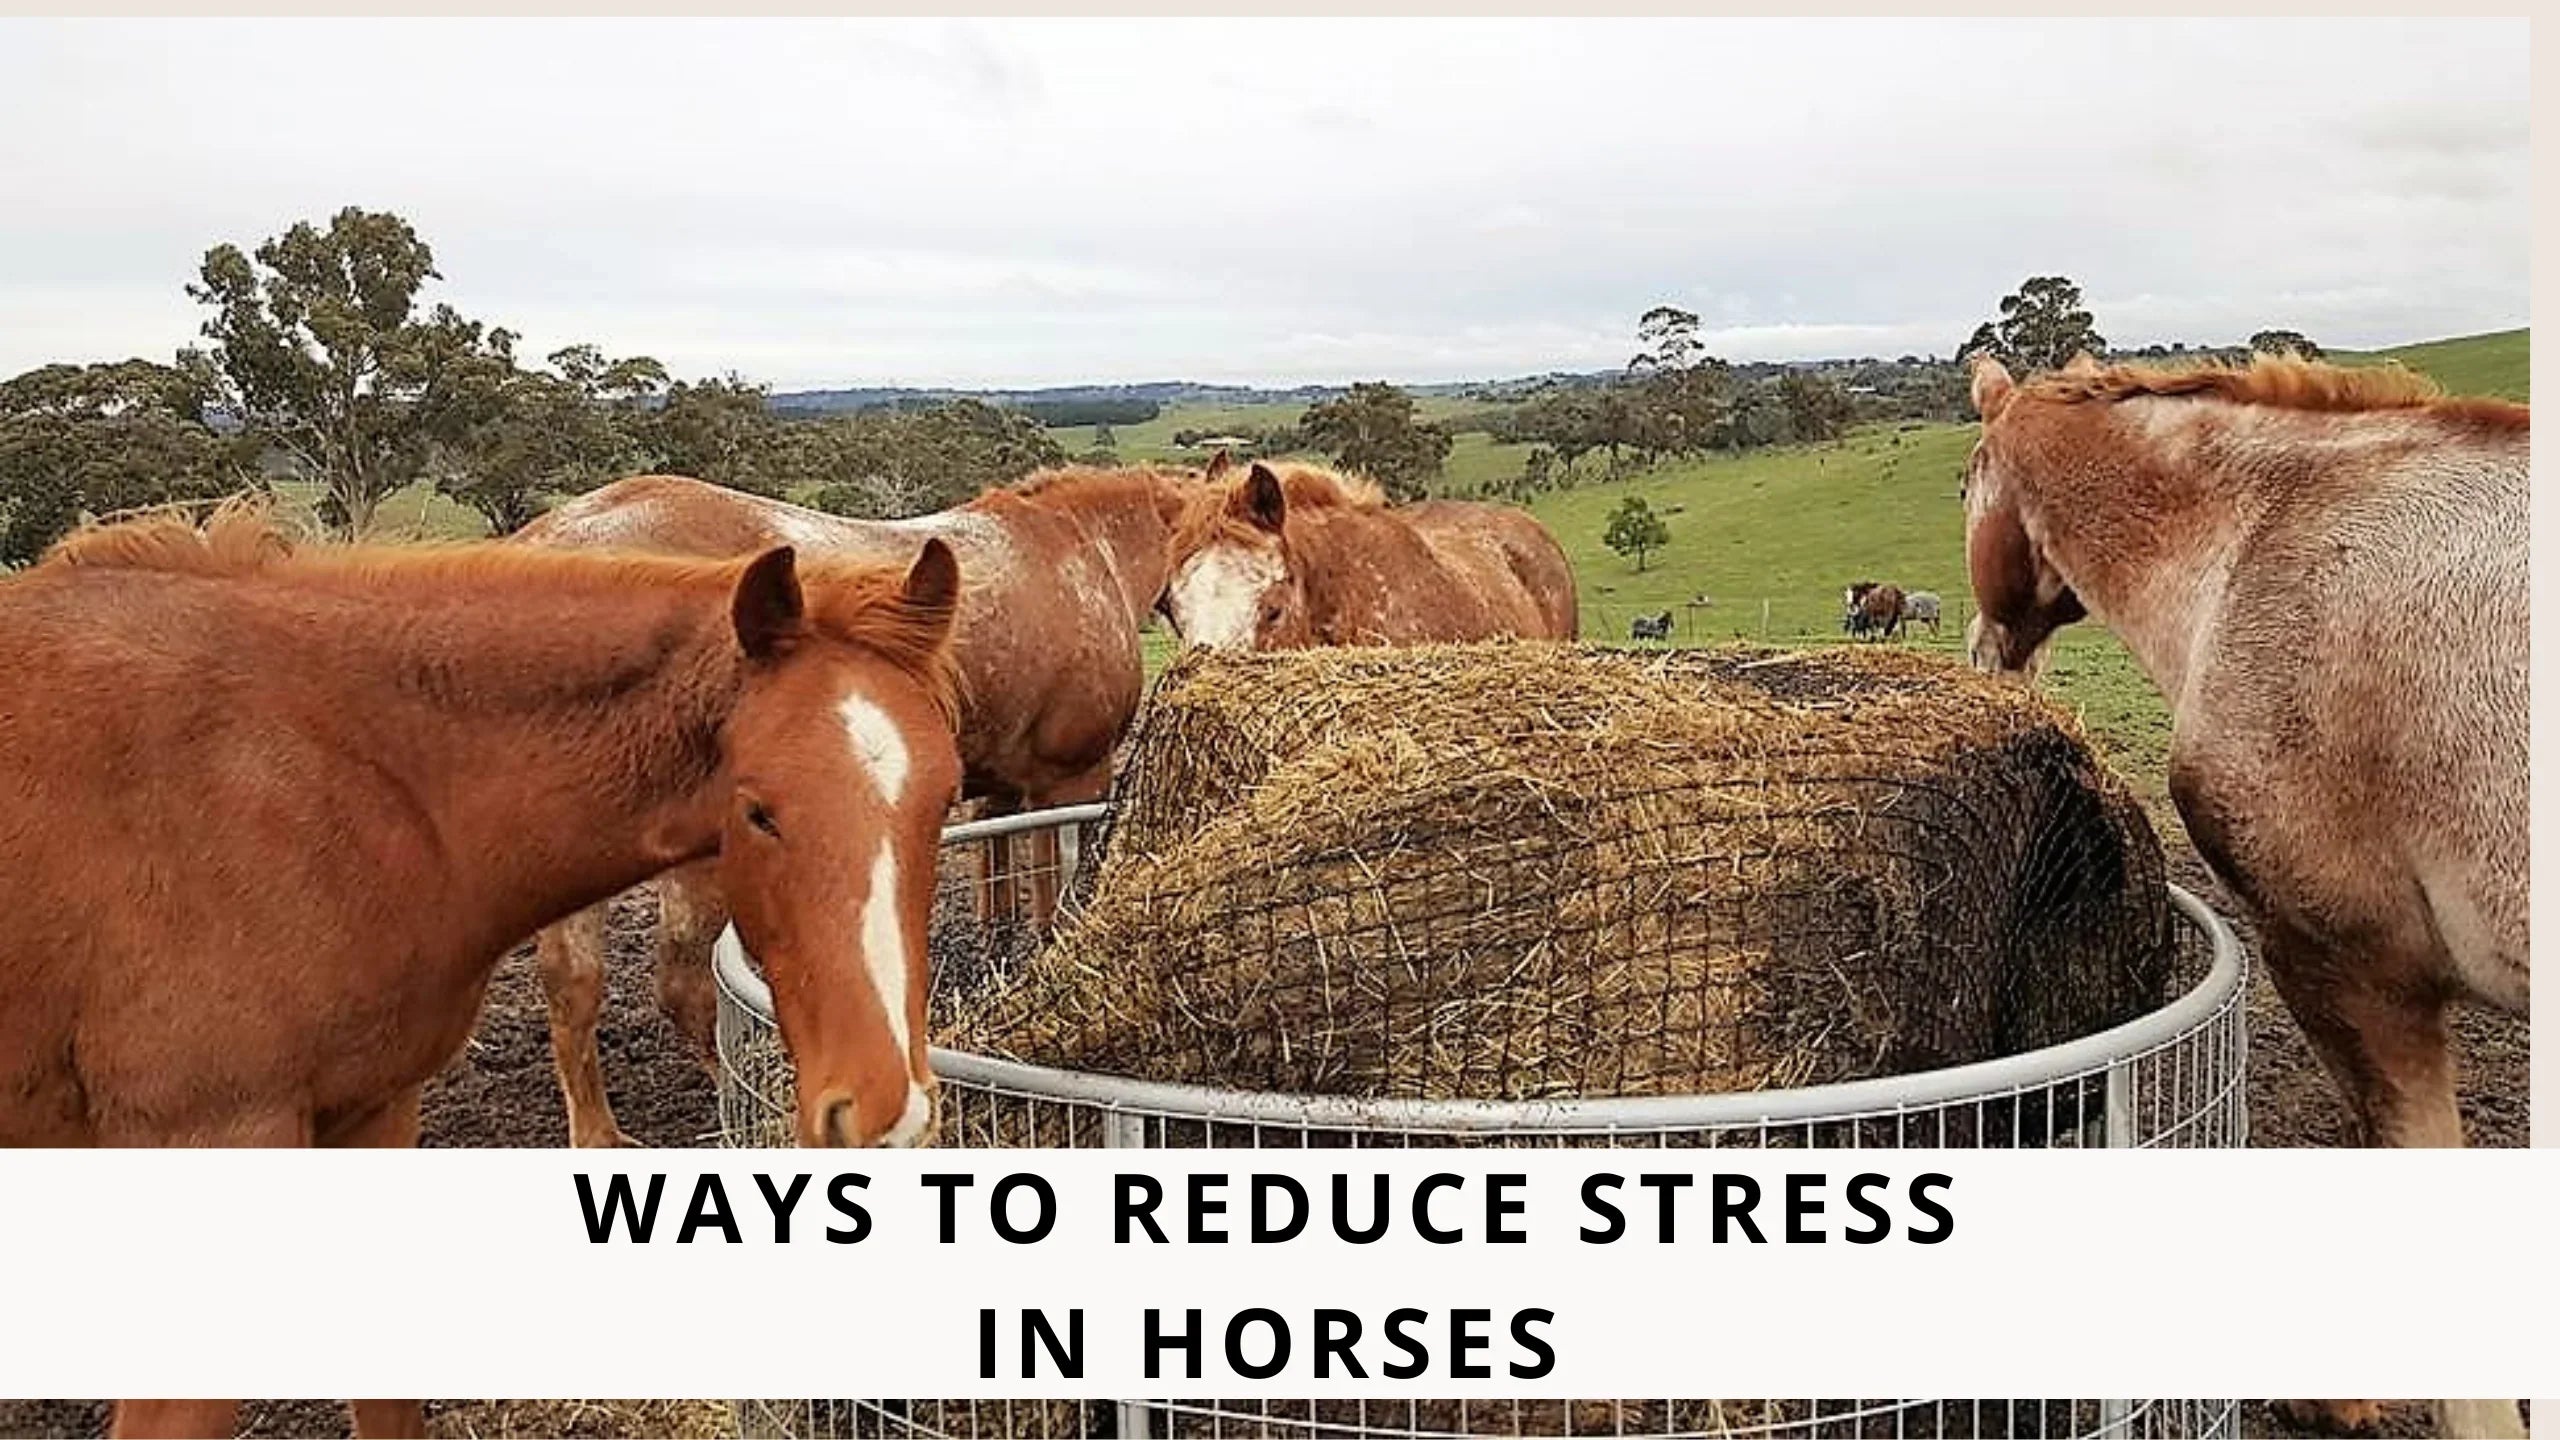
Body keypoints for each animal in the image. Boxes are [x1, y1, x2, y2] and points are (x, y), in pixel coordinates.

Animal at [0, 502, 964, 1439]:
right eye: (760, 811)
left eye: (946, 796)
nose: (885, 1109)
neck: (340, 780)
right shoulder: (212, 1142)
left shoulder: (373, 1116)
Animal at [514, 464, 1192, 1147]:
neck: (1078, 549)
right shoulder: (1071, 778)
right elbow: (1058, 894)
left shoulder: (1002, 784)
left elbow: (1000, 881)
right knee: (683, 985)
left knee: (572, 983)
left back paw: (600, 1134)